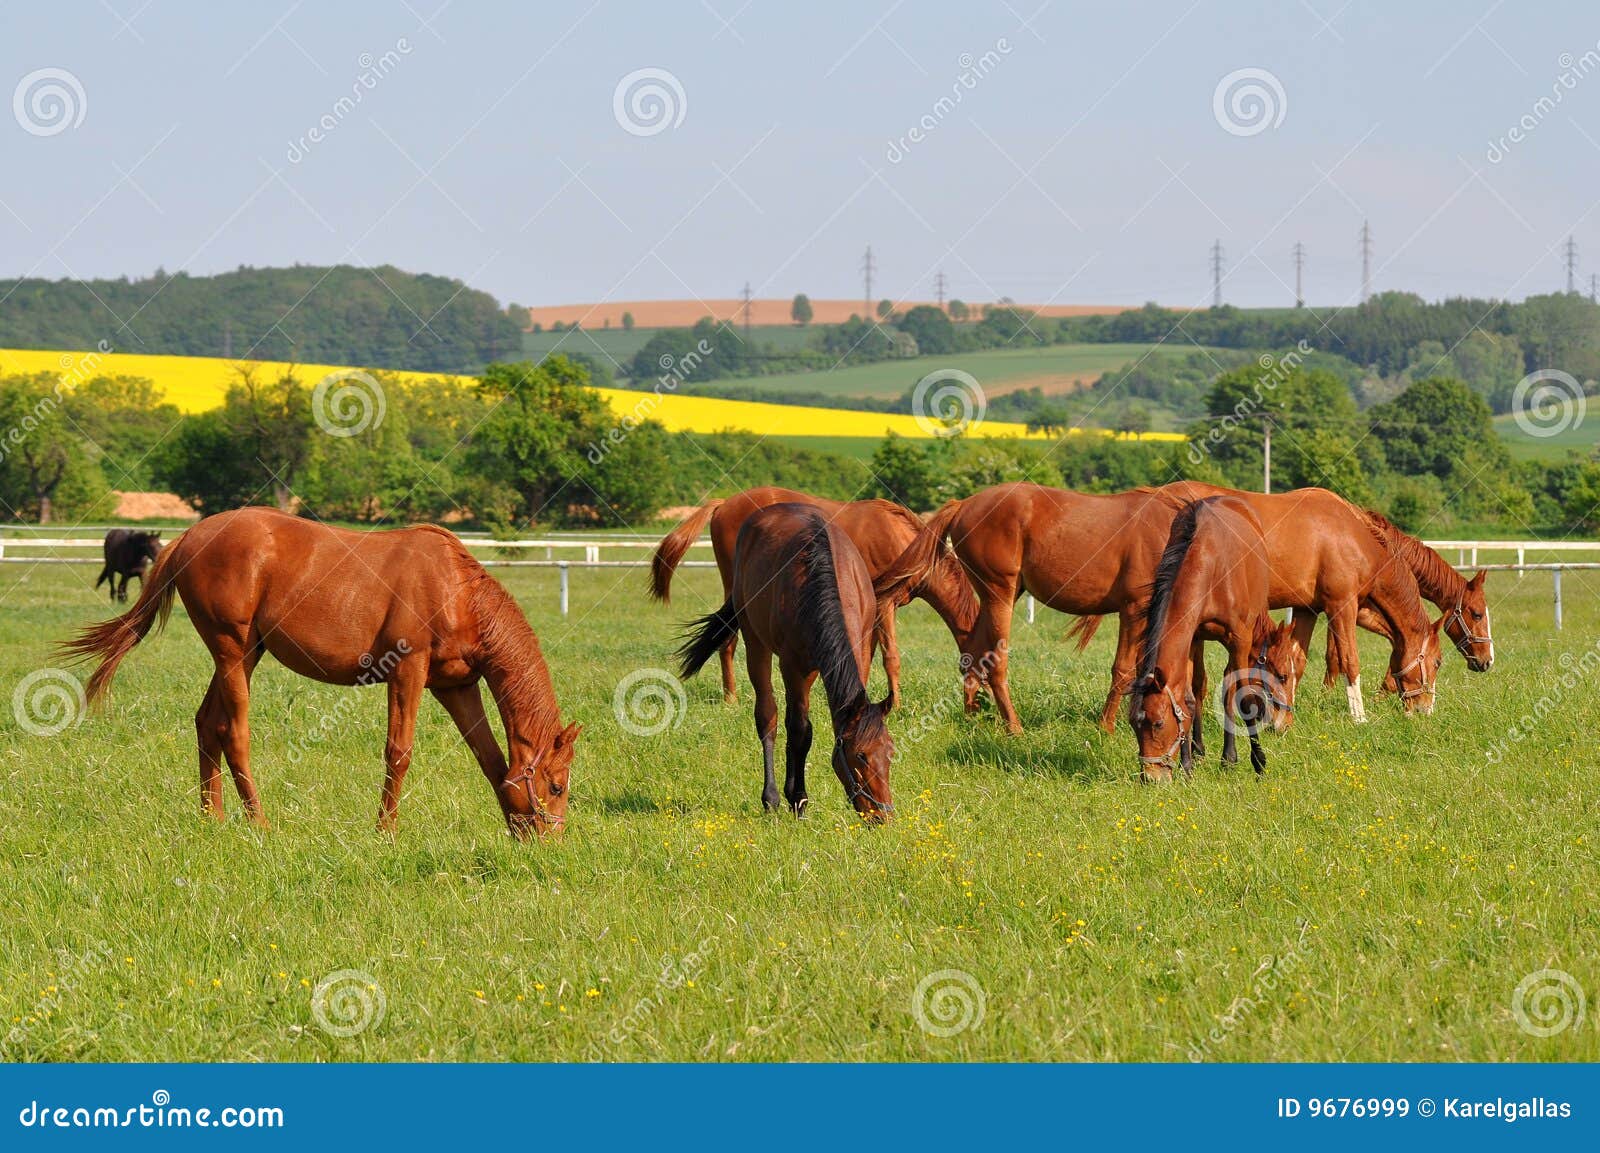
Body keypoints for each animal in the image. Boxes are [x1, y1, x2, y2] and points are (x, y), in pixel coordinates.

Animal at [60, 507, 579, 838]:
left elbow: (490, 759)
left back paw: (214, 819)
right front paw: (385, 832)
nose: (548, 844)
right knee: (234, 732)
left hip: (246, 654)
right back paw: (259, 824)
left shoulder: (457, 687)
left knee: (207, 723)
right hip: (232, 652)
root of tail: (190, 537)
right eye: (555, 786)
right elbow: (399, 753)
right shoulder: (407, 673)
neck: (455, 589)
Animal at [651, 487, 977, 710]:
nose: (974, 709)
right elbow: (890, 658)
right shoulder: (885, 605)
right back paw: (731, 699)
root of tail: (724, 504)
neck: (905, 541)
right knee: (728, 642)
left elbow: (866, 653)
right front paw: (895, 705)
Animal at [676, 503, 895, 822]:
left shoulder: (860, 655)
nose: (882, 815)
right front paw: (798, 798)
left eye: (890, 752)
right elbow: (800, 731)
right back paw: (772, 797)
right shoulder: (794, 668)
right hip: (756, 643)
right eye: (860, 755)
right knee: (769, 716)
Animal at [1128, 496, 1293, 781]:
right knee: (1200, 686)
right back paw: (1200, 750)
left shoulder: (1239, 640)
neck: (1212, 566)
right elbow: (1188, 698)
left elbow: (1241, 697)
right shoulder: (1192, 636)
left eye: (1157, 723)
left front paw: (1257, 762)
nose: (1150, 778)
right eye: (1134, 724)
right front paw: (1187, 766)